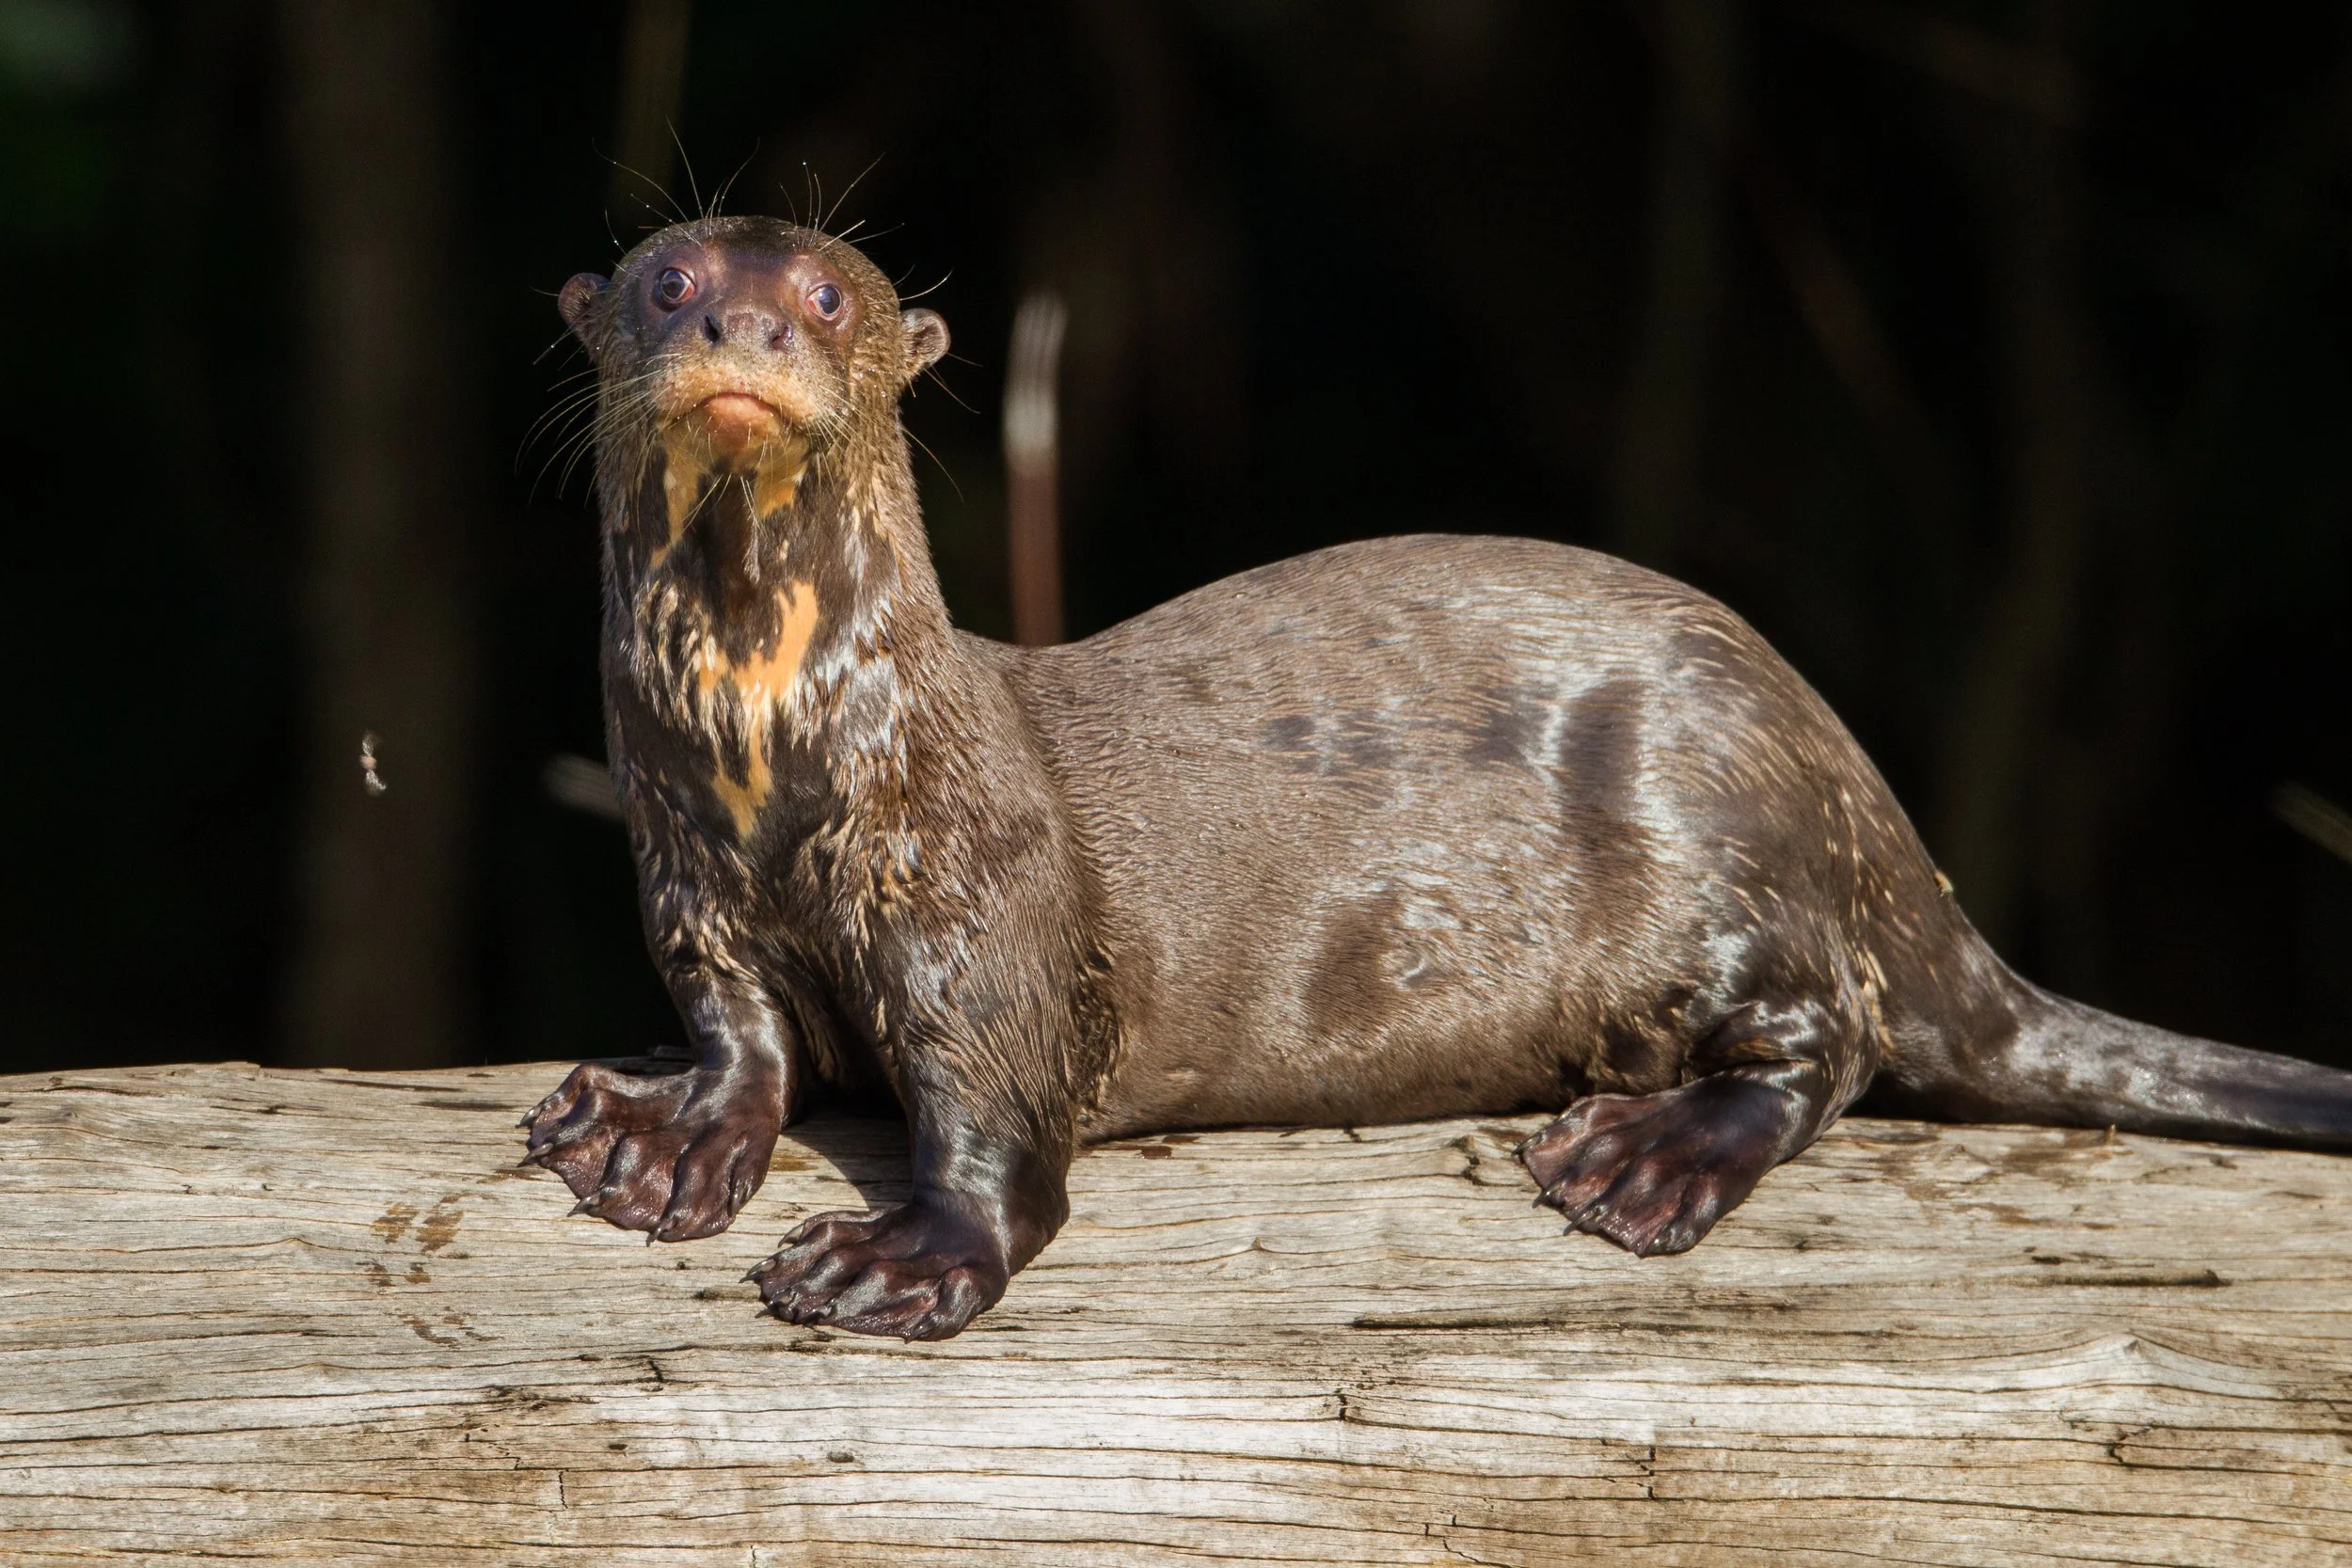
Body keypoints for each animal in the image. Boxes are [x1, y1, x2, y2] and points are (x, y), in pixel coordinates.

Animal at [523, 215, 2352, 1341]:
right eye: (671, 276)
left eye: (829, 294)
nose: (745, 318)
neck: (779, 761)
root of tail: (1861, 789)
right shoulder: (693, 886)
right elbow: (743, 1034)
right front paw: (659, 1131)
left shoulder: (982, 906)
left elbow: (996, 1109)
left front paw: (901, 1256)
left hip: (1719, 819)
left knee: (1839, 1029)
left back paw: (1648, 1156)